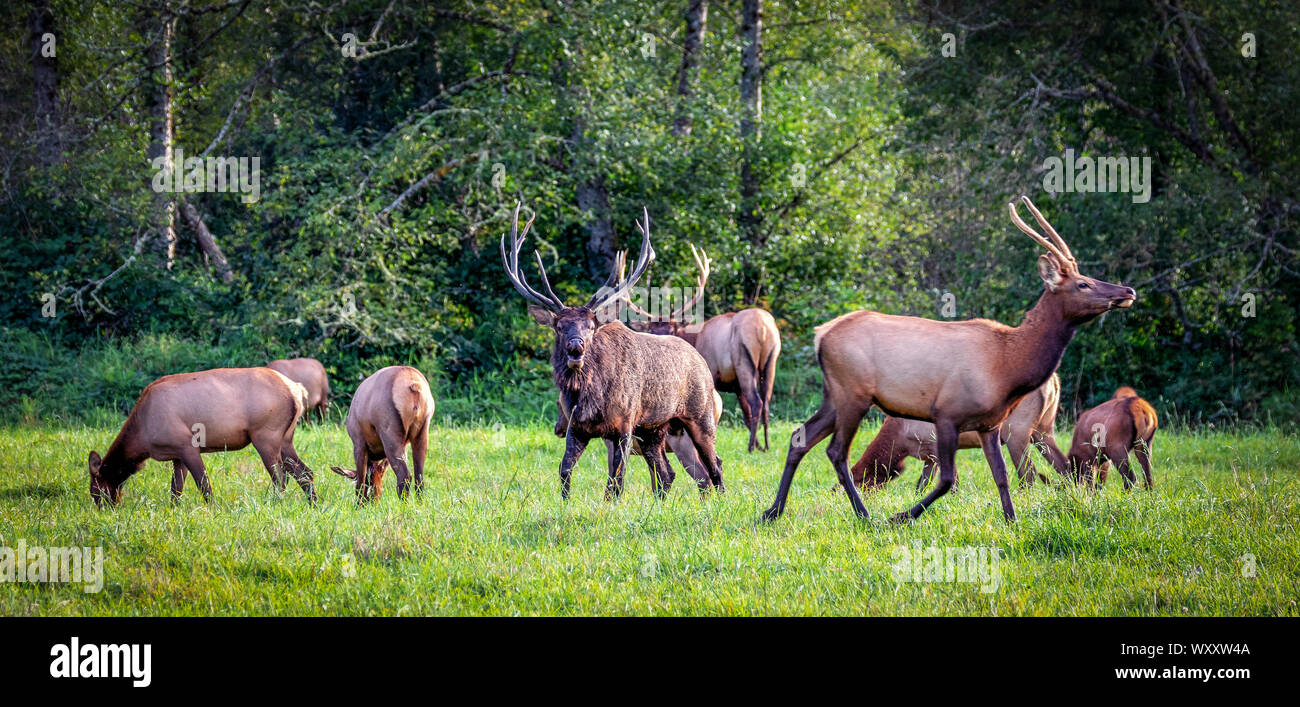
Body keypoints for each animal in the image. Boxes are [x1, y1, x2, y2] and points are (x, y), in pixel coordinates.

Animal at [87, 367, 316, 507]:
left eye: (96, 492)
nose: (103, 511)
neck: (142, 440)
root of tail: (297, 390)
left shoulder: (187, 445)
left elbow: (204, 485)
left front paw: (214, 509)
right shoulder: (176, 455)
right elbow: (175, 491)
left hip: (265, 436)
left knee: (281, 477)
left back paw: (275, 503)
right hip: (285, 438)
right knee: (305, 472)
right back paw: (313, 504)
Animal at [329, 365, 434, 502]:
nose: (374, 501)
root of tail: (414, 385)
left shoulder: (358, 443)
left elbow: (360, 481)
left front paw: (358, 504)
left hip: (390, 435)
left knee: (405, 476)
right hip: (422, 432)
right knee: (419, 478)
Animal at [502, 204, 724, 499]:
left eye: (591, 327)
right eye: (559, 327)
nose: (576, 346)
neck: (590, 397)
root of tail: (700, 360)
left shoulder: (623, 425)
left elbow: (616, 481)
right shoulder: (578, 428)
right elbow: (565, 472)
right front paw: (566, 503)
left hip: (699, 417)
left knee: (714, 467)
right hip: (654, 430)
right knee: (666, 473)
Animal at [621, 246, 781, 452]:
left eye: (672, 329)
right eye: (650, 330)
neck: (693, 337)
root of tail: (762, 329)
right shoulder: (735, 386)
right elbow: (745, 414)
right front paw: (761, 446)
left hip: (744, 362)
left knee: (757, 403)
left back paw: (750, 447)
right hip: (771, 361)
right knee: (767, 401)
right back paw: (767, 445)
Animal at [850, 374, 1070, 491]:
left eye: (861, 484)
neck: (900, 438)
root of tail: (1055, 380)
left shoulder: (935, 448)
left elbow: (952, 483)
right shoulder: (929, 456)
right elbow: (921, 485)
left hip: (1017, 433)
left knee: (1029, 474)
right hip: (1043, 430)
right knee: (1066, 466)